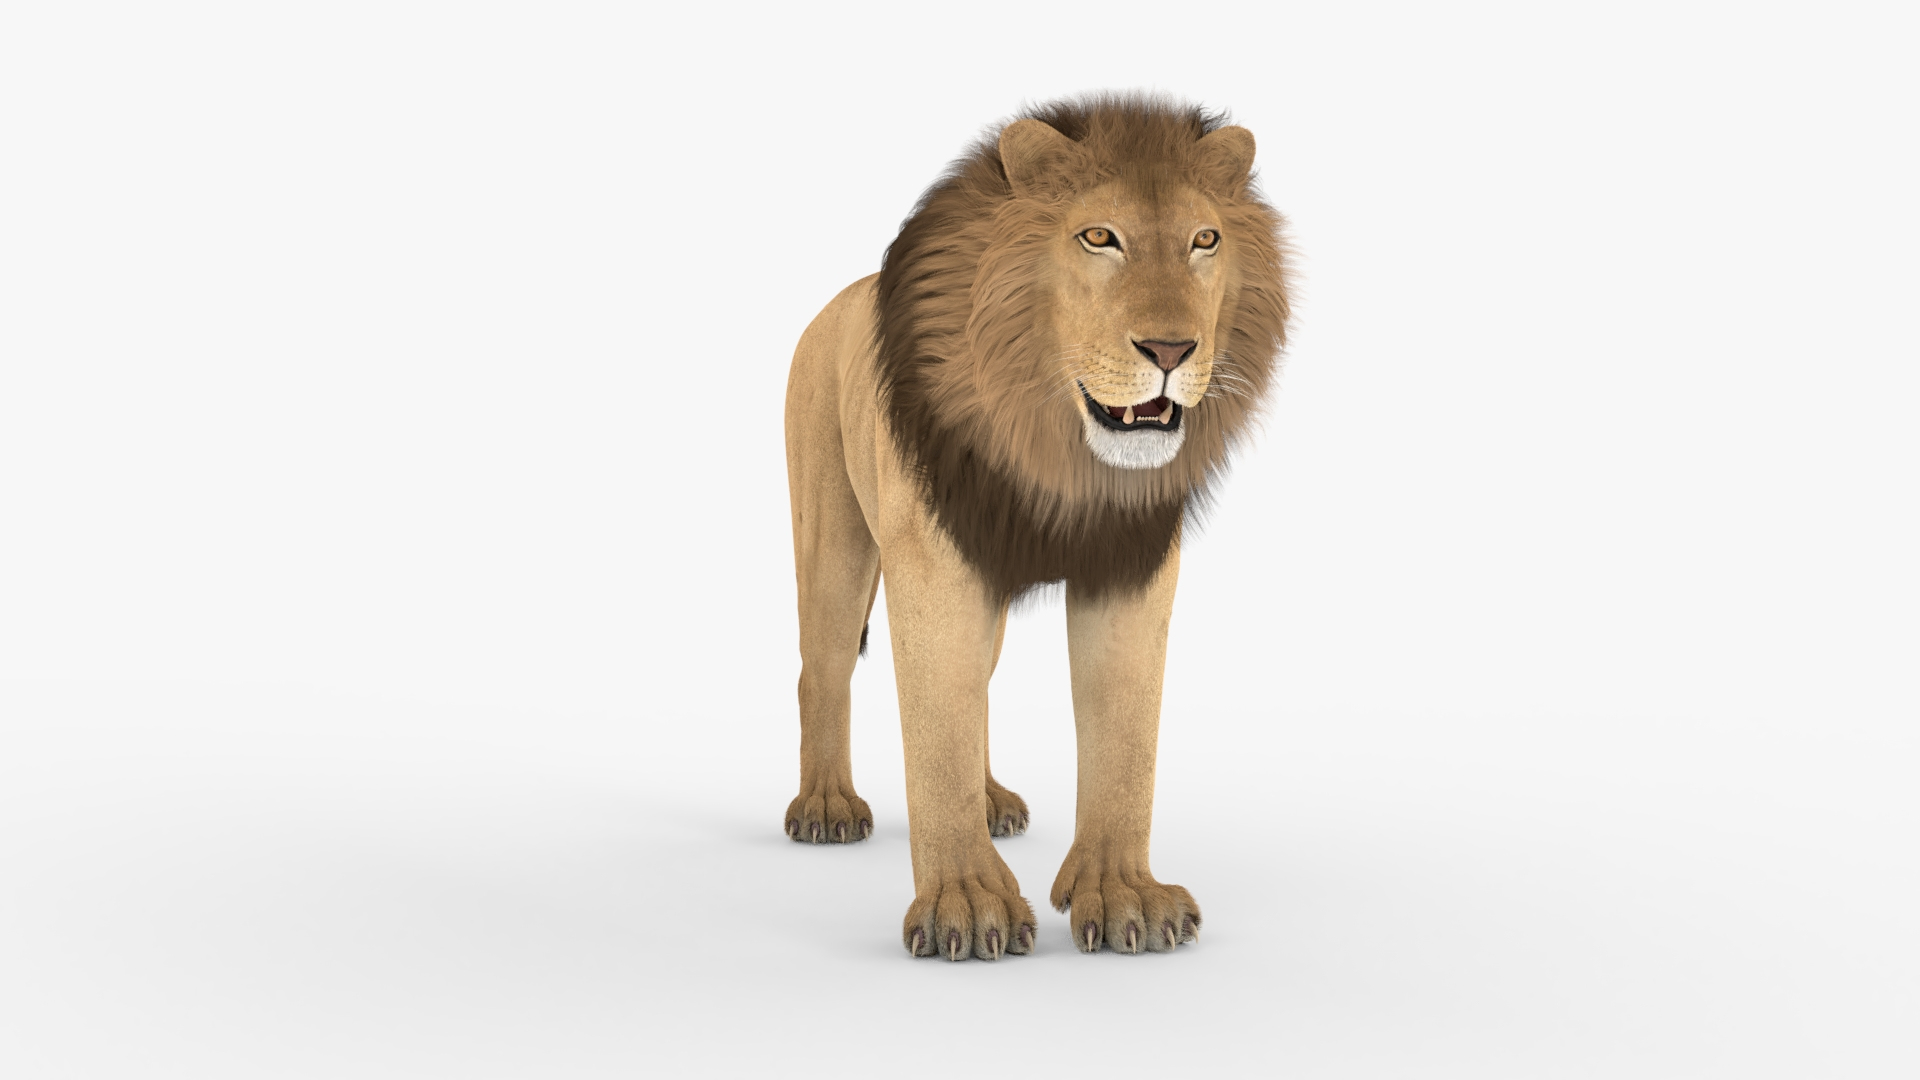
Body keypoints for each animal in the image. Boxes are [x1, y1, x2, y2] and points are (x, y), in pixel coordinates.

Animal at [782, 95, 1291, 959]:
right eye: (1099, 237)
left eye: (1205, 240)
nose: (1170, 348)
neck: (1061, 458)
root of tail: (840, 298)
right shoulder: (933, 561)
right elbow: (938, 733)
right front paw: (964, 904)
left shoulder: (1130, 565)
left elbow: (1125, 738)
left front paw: (1123, 897)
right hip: (832, 544)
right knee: (822, 670)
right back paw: (825, 805)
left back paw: (991, 802)